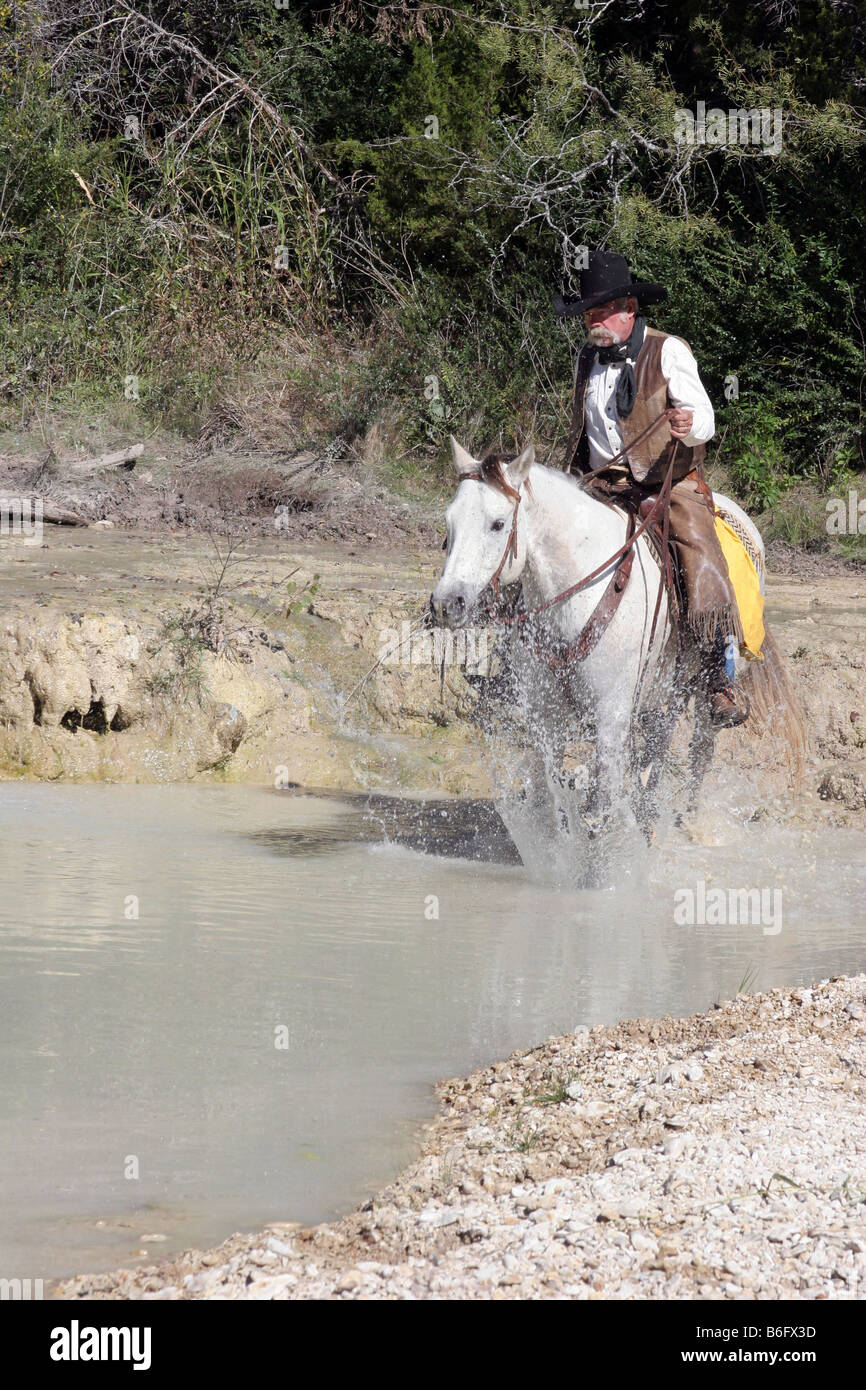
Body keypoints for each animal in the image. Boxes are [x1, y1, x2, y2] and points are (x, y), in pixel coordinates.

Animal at [431, 436, 804, 855]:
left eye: (497, 524)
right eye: (449, 523)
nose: (445, 604)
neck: (575, 594)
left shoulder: (611, 715)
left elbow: (600, 812)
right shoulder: (547, 716)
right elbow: (554, 802)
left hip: (707, 685)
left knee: (700, 750)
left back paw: (689, 821)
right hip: (664, 692)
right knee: (656, 749)